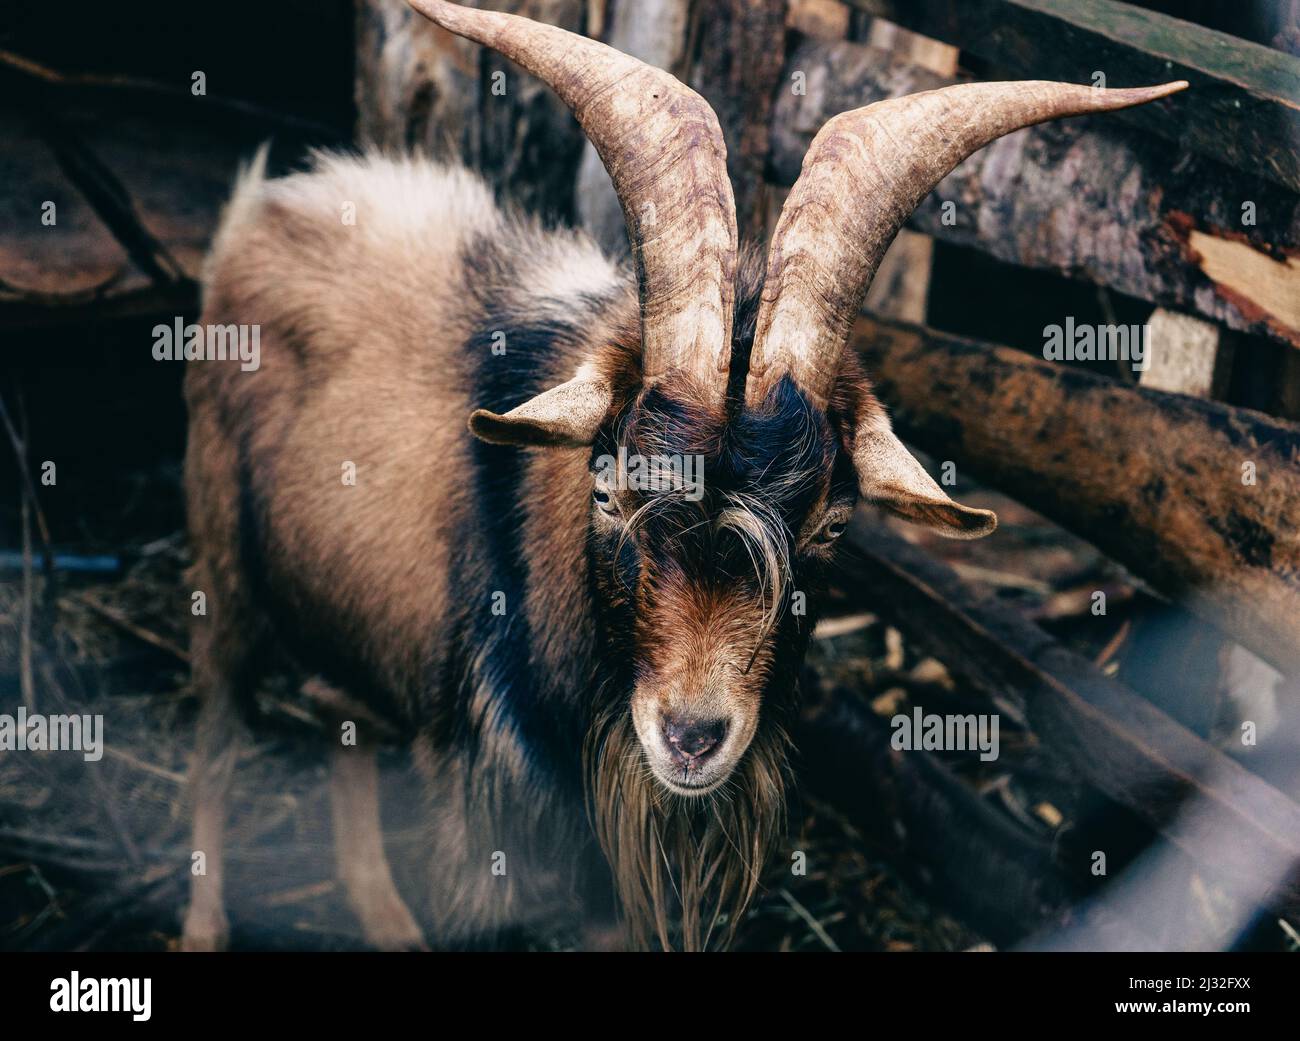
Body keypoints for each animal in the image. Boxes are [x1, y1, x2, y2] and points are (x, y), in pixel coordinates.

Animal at [180, 0, 1186, 950]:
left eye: (830, 525)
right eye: (606, 488)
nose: (692, 736)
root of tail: (270, 201)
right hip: (222, 551)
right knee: (217, 732)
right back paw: (203, 923)